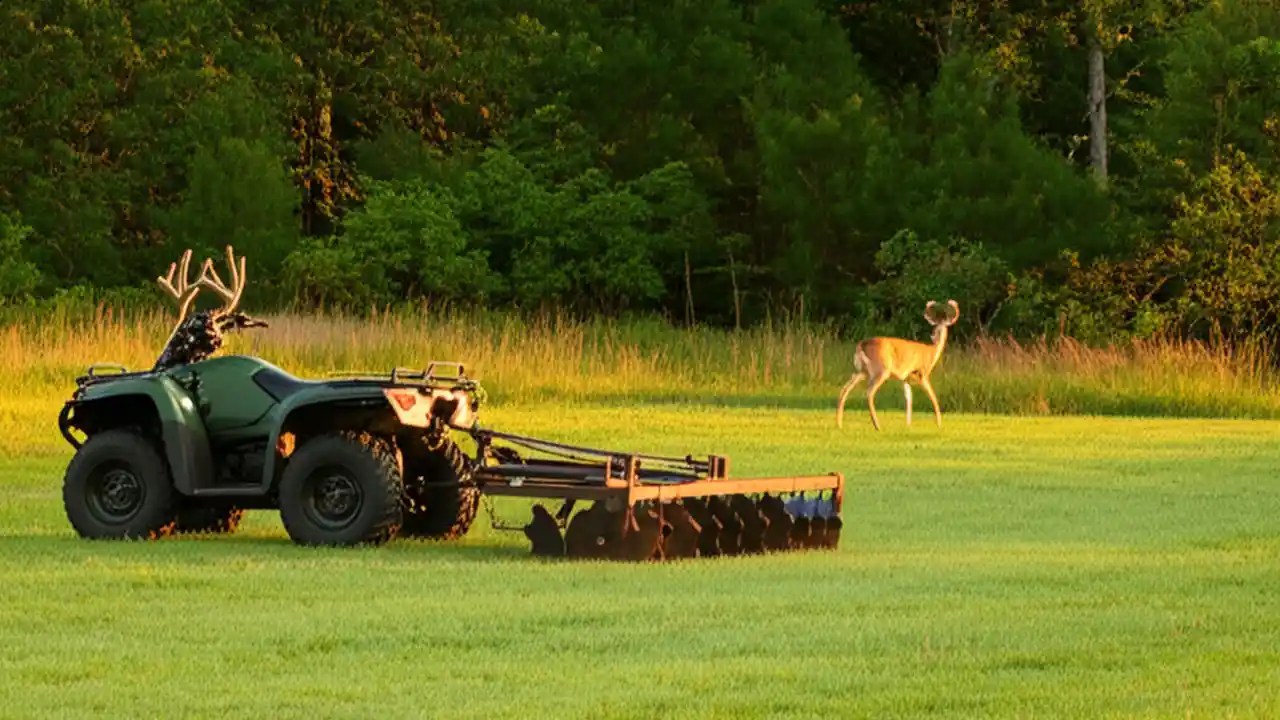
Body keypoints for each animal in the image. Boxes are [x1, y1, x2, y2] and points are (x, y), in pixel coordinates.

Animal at [836, 300, 959, 431]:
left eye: (941, 328)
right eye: (936, 328)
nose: (934, 335)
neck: (932, 351)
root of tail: (861, 345)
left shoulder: (906, 378)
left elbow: (909, 398)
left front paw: (908, 425)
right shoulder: (922, 373)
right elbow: (933, 396)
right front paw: (939, 424)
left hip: (862, 371)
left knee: (845, 388)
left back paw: (839, 424)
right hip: (881, 369)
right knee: (869, 392)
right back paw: (877, 426)